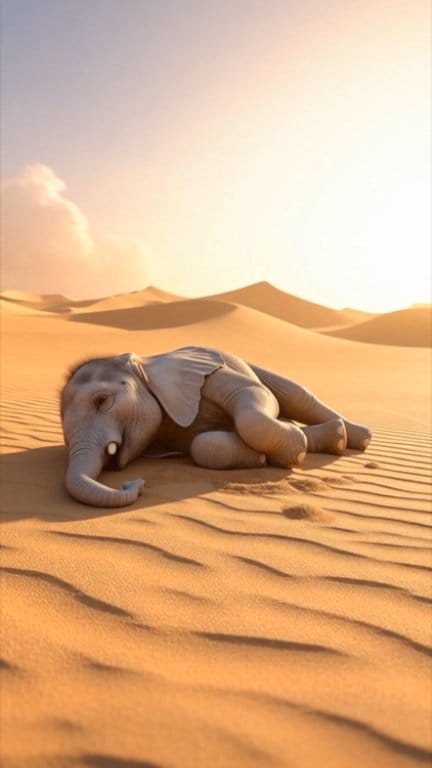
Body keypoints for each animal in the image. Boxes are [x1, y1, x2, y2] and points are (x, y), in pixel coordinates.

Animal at [60, 346, 372, 507]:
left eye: (101, 401)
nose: (135, 482)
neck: (144, 367)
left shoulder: (209, 374)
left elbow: (255, 395)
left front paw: (294, 452)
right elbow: (203, 445)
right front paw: (260, 457)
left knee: (295, 393)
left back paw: (356, 437)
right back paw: (335, 436)